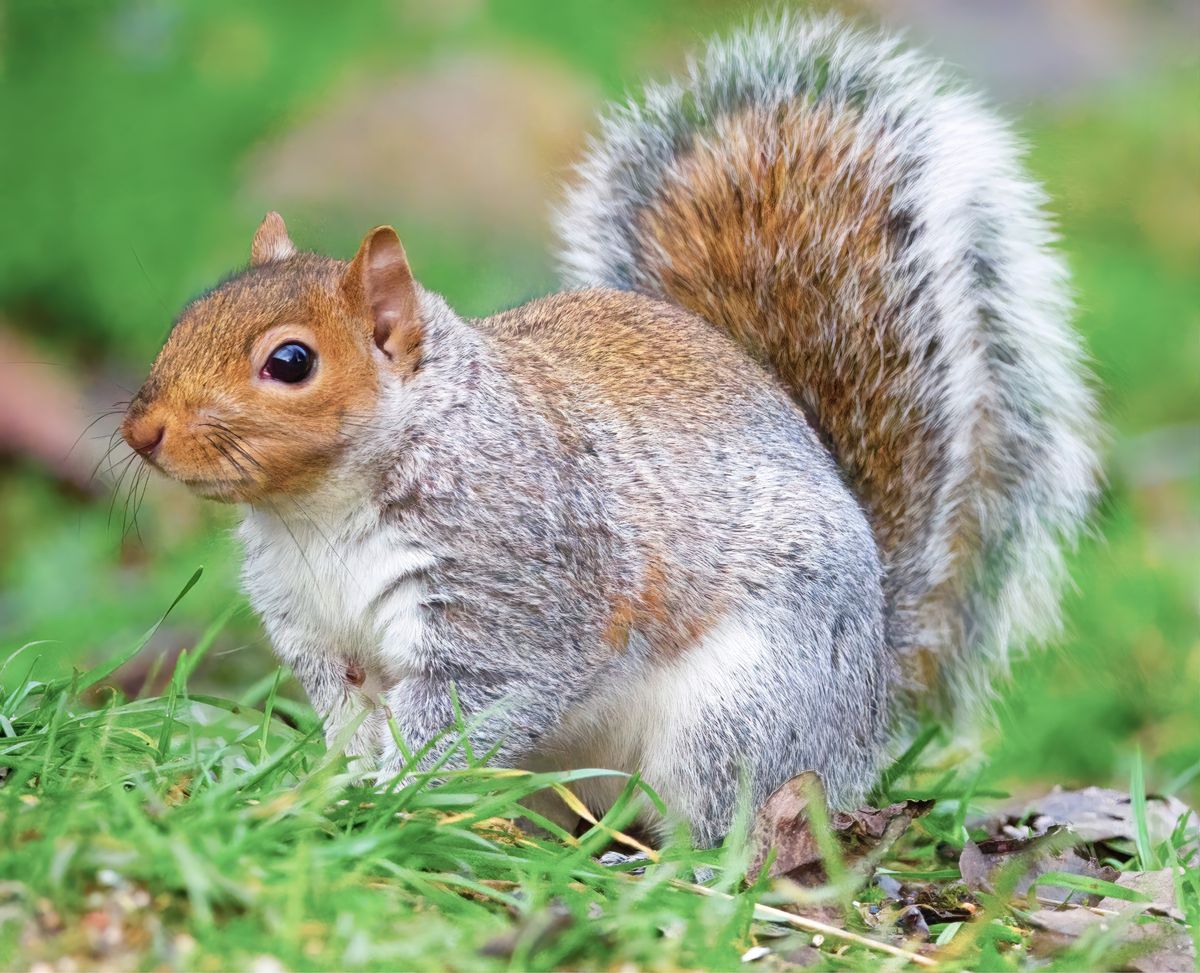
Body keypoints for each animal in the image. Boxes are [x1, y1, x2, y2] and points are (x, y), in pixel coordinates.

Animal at [121, 14, 1099, 846]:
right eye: (186, 316)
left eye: (290, 362)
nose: (142, 432)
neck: (321, 511)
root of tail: (864, 711)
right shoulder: (321, 635)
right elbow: (350, 717)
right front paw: (331, 787)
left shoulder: (517, 589)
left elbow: (478, 700)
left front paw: (389, 796)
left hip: (741, 709)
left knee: (724, 809)